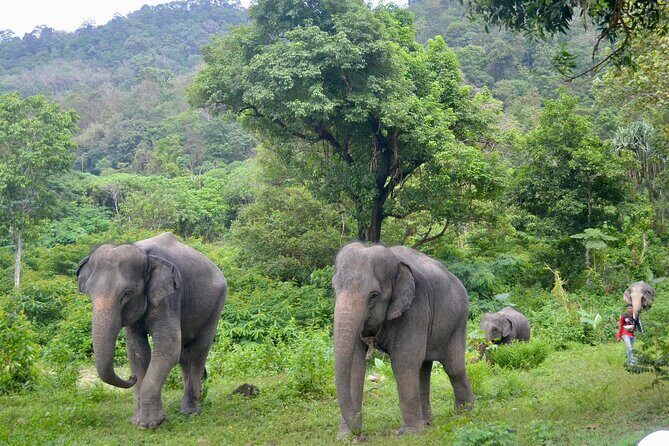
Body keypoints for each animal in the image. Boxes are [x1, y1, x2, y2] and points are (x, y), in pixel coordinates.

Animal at [76, 232, 227, 429]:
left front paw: (150, 424)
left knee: (198, 351)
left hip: (217, 302)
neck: (145, 255)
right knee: (184, 354)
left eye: (127, 293)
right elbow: (137, 351)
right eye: (90, 292)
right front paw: (137, 421)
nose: (130, 377)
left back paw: (190, 412)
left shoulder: (170, 295)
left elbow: (168, 346)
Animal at [332, 242, 474, 440]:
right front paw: (345, 436)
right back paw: (428, 422)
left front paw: (409, 433)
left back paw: (464, 415)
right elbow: (354, 365)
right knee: (424, 368)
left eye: (374, 295)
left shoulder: (415, 309)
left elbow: (404, 361)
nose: (360, 434)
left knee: (454, 368)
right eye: (334, 287)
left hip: (458, 321)